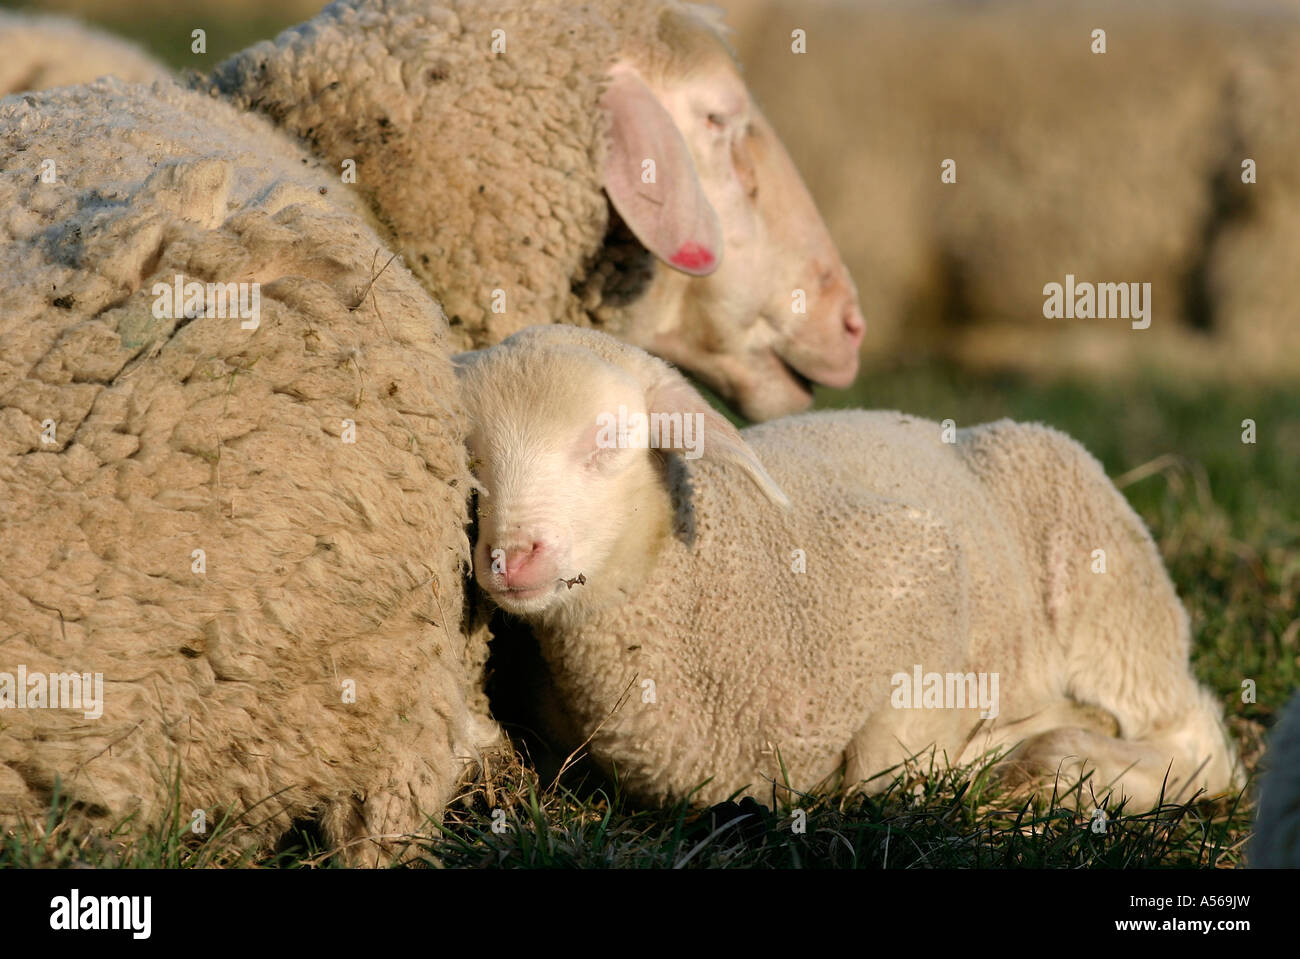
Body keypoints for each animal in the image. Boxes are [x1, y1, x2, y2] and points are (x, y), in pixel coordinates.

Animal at [455, 325, 1243, 810]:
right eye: (471, 461)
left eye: (607, 442)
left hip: (1107, 587)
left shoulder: (922, 576)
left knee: (1200, 742)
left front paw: (1013, 752)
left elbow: (885, 778)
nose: (511, 557)